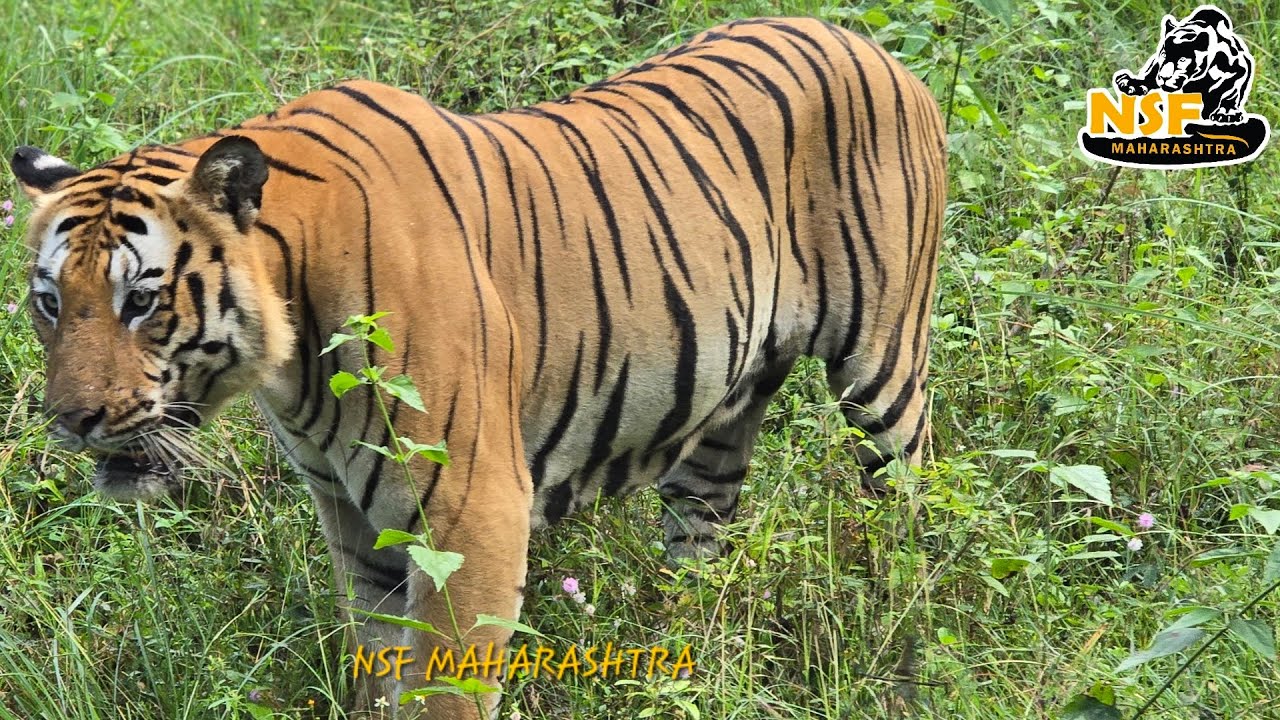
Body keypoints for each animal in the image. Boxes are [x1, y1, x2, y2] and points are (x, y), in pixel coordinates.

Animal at [10, 17, 945, 719]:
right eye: (50, 302)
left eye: (141, 301)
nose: (71, 421)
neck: (291, 347)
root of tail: (866, 42)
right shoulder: (358, 527)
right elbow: (382, 677)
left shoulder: (472, 513)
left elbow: (446, 693)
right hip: (717, 425)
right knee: (703, 545)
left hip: (884, 375)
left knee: (915, 510)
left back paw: (911, 648)